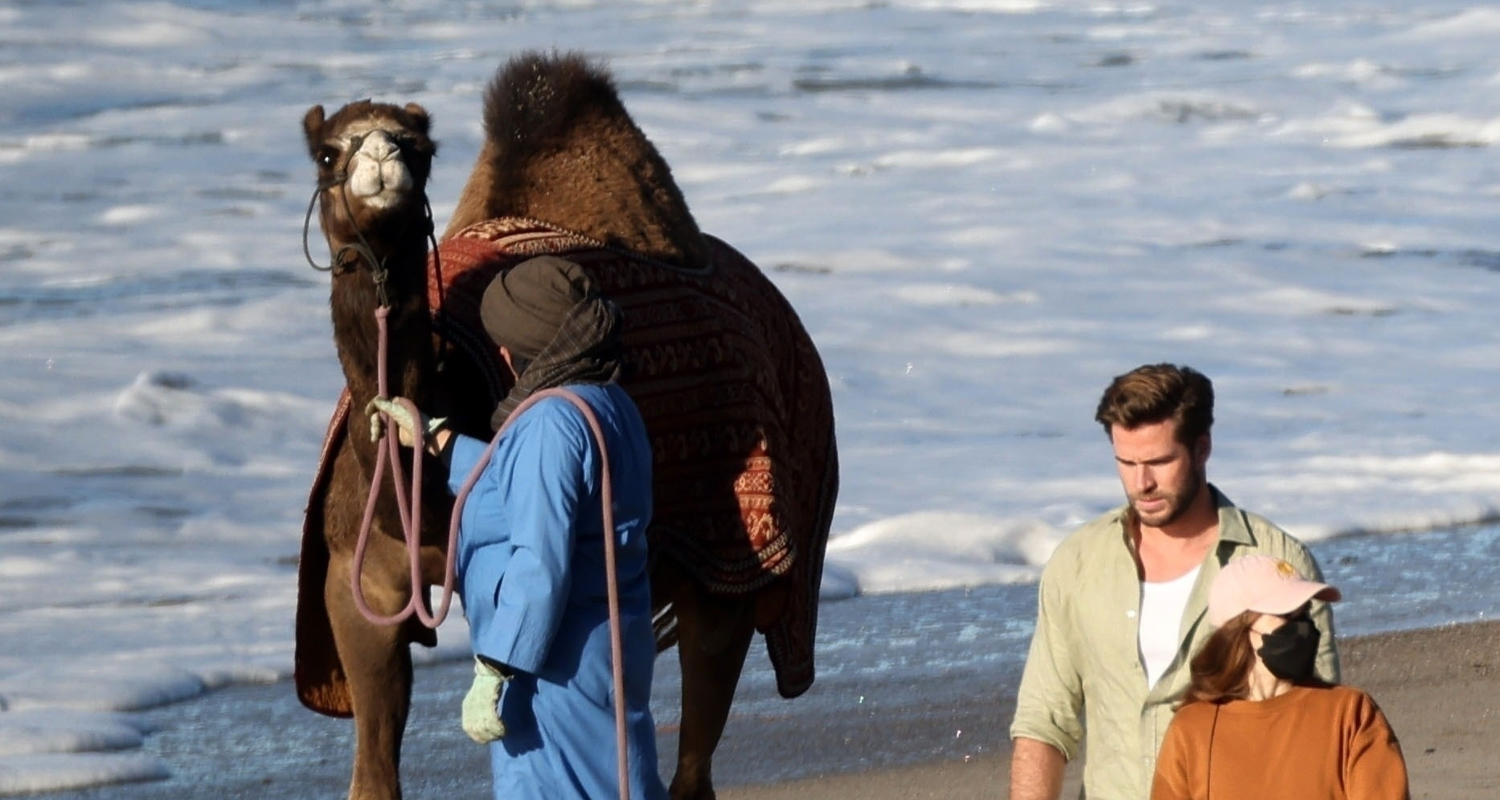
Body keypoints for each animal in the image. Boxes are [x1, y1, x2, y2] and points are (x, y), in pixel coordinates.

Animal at [296, 52, 839, 800]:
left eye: (418, 148)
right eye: (327, 152)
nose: (382, 158)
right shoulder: (359, 585)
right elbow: (373, 774)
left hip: (729, 560)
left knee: (694, 739)